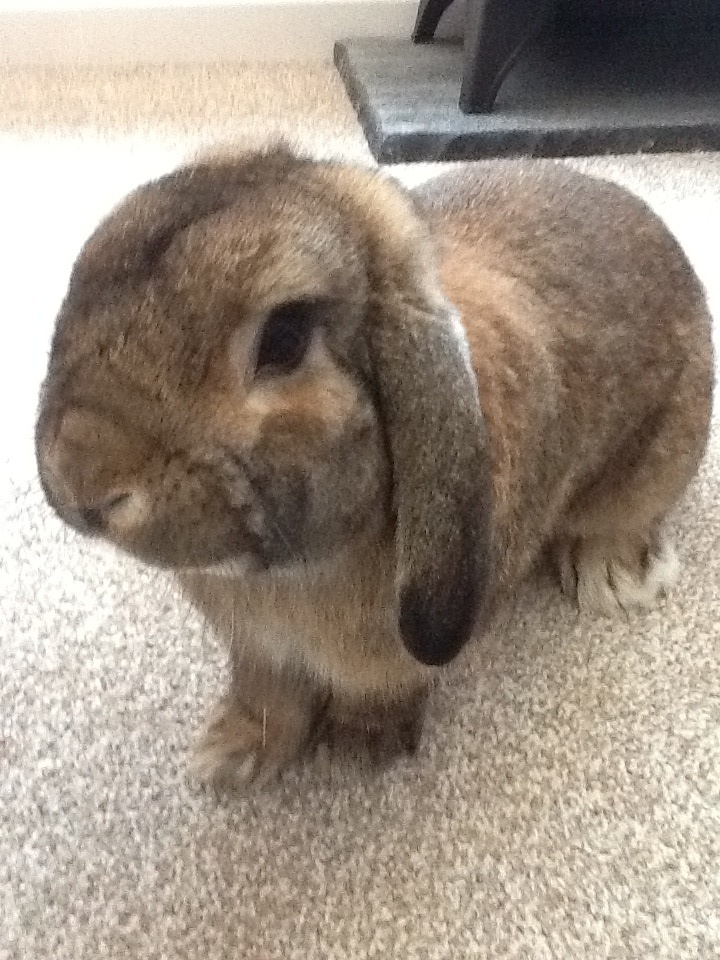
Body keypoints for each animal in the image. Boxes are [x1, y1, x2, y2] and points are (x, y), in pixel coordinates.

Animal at [35, 145, 714, 786]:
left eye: (284, 338)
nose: (84, 483)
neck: (293, 574)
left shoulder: (392, 657)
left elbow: (382, 688)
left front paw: (357, 748)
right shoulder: (257, 649)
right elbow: (268, 696)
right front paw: (232, 756)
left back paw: (615, 578)